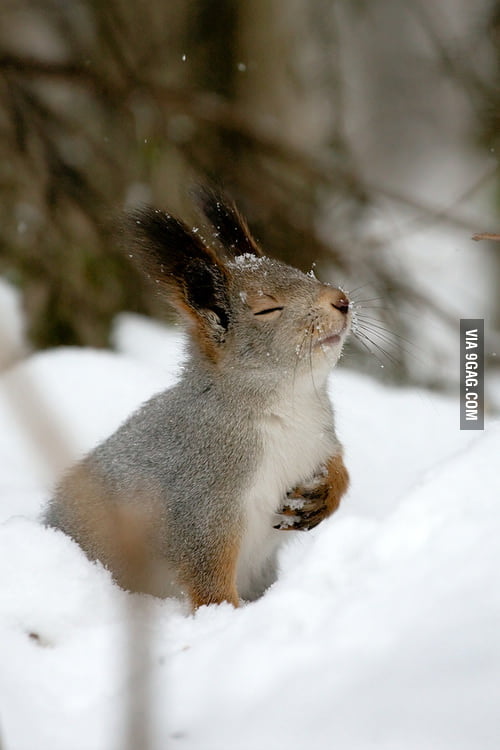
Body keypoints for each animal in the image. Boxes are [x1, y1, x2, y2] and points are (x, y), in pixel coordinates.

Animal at [44, 188, 351, 610]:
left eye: (304, 272)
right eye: (267, 308)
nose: (342, 300)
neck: (289, 405)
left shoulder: (320, 437)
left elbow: (339, 466)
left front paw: (325, 493)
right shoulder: (202, 499)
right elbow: (207, 573)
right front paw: (226, 615)